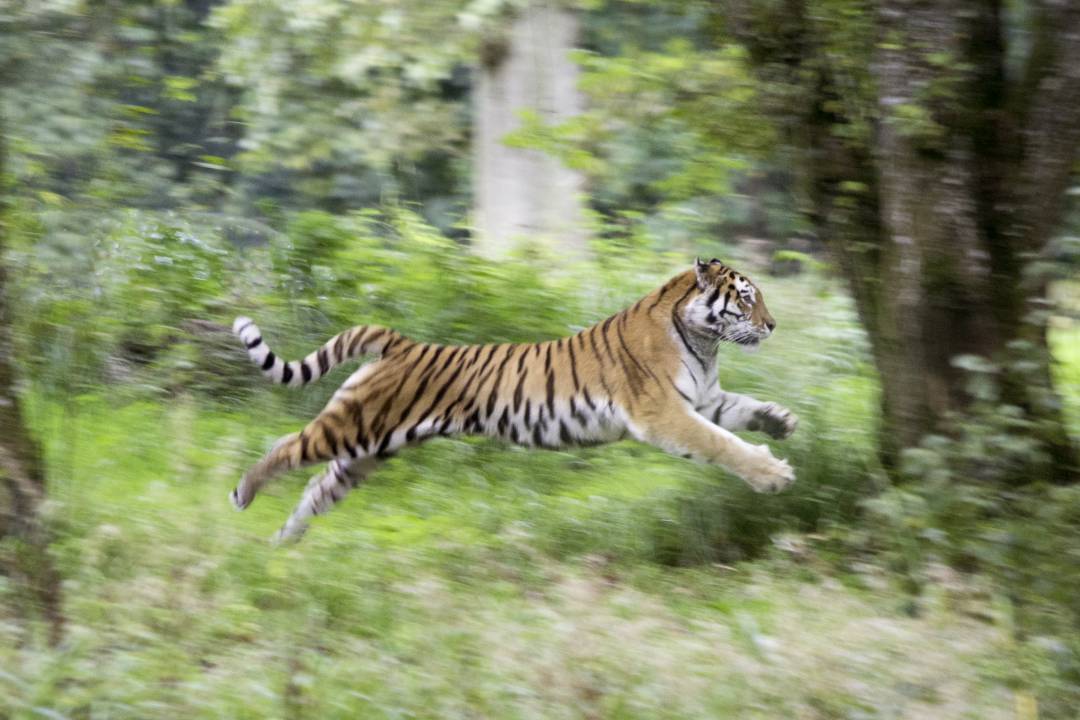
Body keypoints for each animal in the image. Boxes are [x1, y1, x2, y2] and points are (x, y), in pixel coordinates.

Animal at [231, 258, 798, 543]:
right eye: (747, 297)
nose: (774, 325)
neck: (704, 342)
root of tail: (400, 342)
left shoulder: (703, 399)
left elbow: (744, 410)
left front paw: (781, 421)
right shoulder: (665, 414)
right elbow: (722, 444)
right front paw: (774, 475)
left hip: (369, 451)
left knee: (318, 488)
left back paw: (284, 541)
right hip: (350, 427)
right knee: (287, 446)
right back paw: (243, 494)